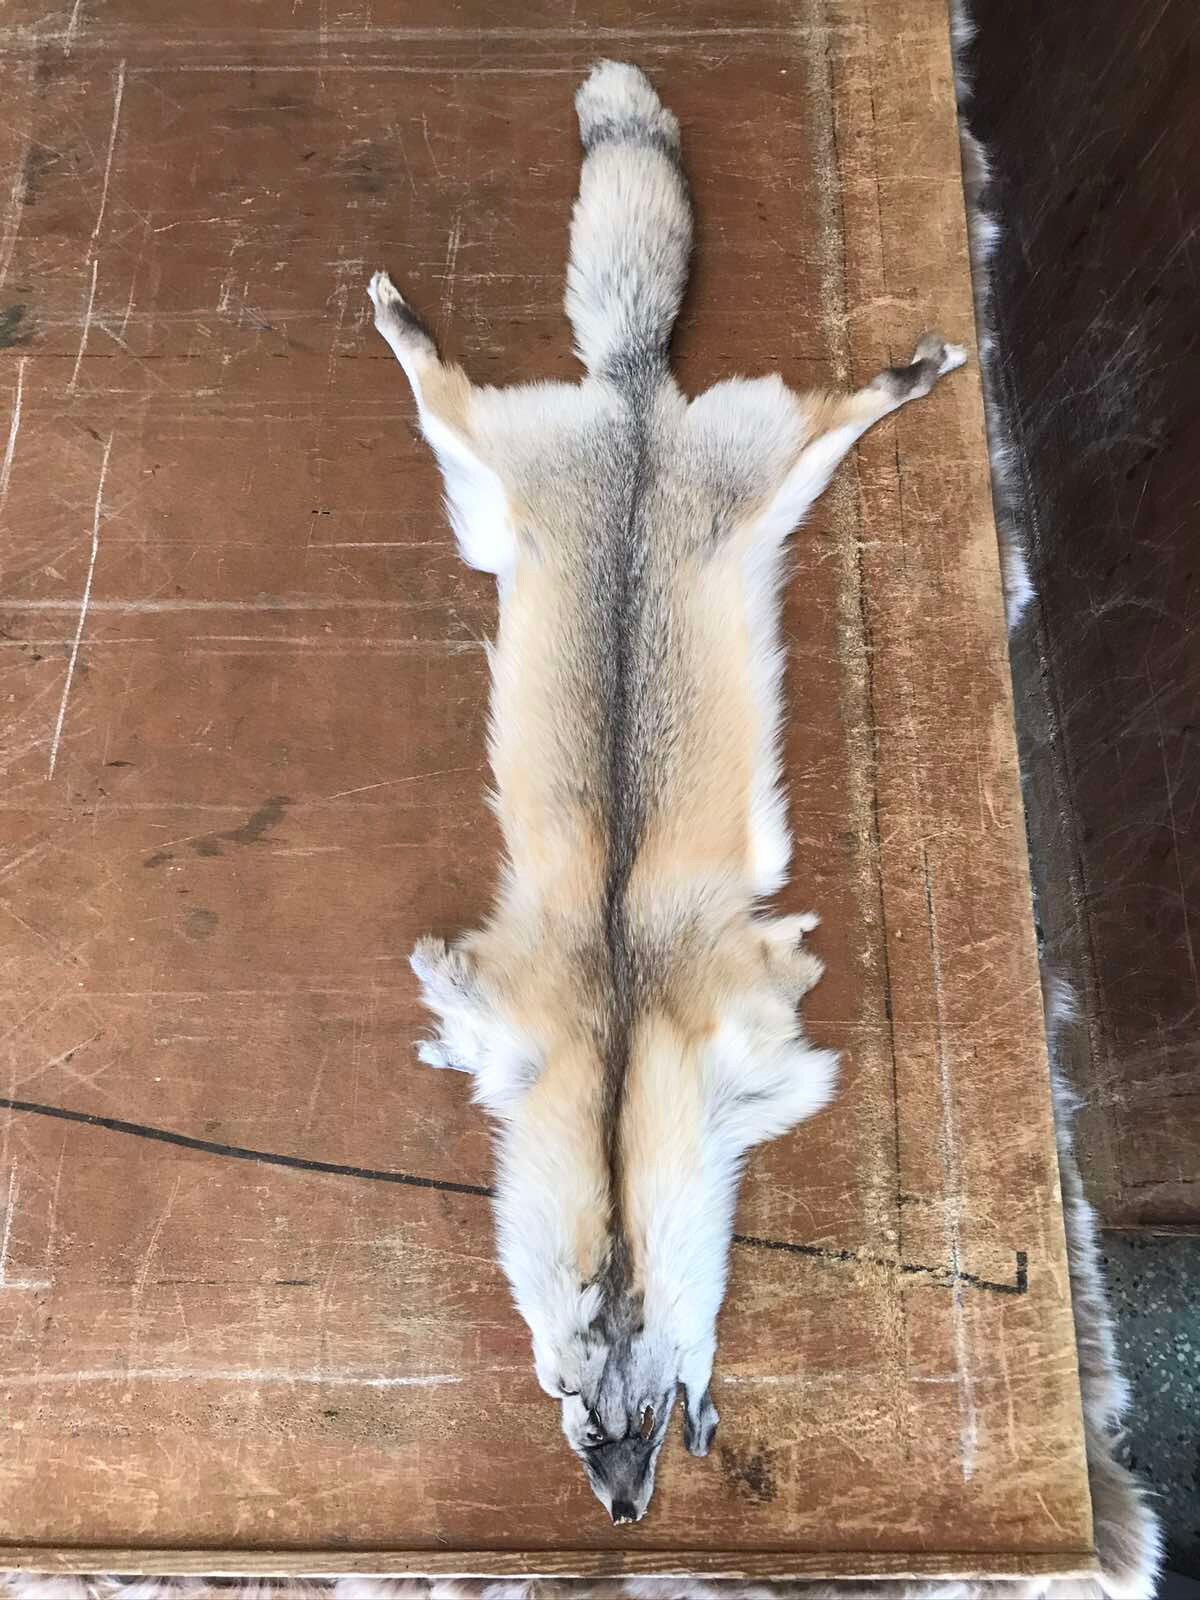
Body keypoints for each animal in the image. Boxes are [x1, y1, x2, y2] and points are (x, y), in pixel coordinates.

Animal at [370, 60, 965, 1524]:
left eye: (625, 1414)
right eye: (575, 1410)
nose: (627, 1511)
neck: (623, 1039)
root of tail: (633, 407)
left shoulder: (729, 1014)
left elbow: (784, 998)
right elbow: (452, 1001)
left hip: (734, 477)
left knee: (833, 404)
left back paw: (915, 368)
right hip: (506, 501)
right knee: (453, 386)